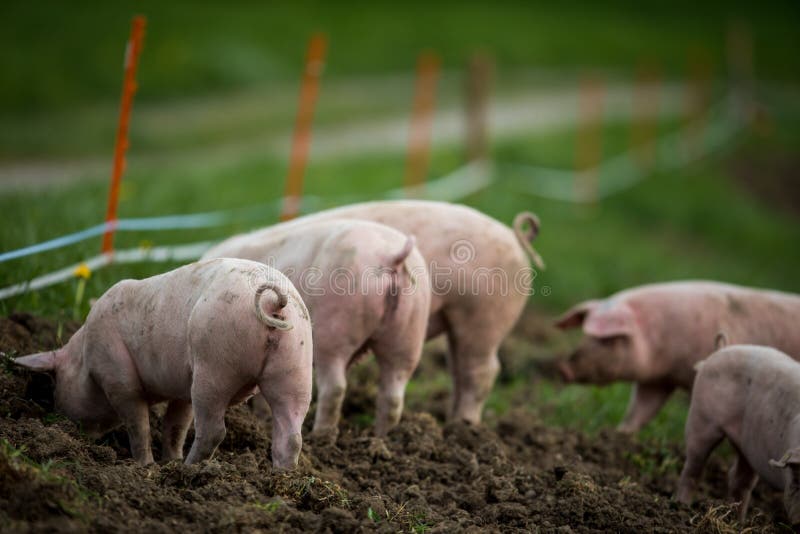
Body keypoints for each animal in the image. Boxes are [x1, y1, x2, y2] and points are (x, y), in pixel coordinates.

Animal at [15, 258, 313, 468]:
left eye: (57, 384)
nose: (66, 425)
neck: (84, 358)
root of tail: (273, 300)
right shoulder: (183, 388)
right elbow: (175, 425)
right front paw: (168, 461)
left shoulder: (117, 377)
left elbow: (138, 423)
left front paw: (146, 466)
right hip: (295, 366)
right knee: (291, 435)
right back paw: (281, 477)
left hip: (214, 365)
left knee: (214, 430)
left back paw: (189, 469)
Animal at [203, 219, 431, 439]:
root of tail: (392, 254)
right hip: (408, 332)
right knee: (393, 393)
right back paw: (382, 437)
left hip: (334, 330)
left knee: (335, 388)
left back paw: (321, 436)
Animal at [555, 281, 800, 433]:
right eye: (585, 335)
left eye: (607, 340)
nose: (563, 369)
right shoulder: (657, 380)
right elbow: (641, 410)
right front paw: (620, 434)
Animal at [676, 344, 800, 524]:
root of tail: (714, 355)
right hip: (701, 419)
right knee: (693, 469)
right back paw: (682, 506)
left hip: (747, 450)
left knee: (738, 481)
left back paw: (738, 523)